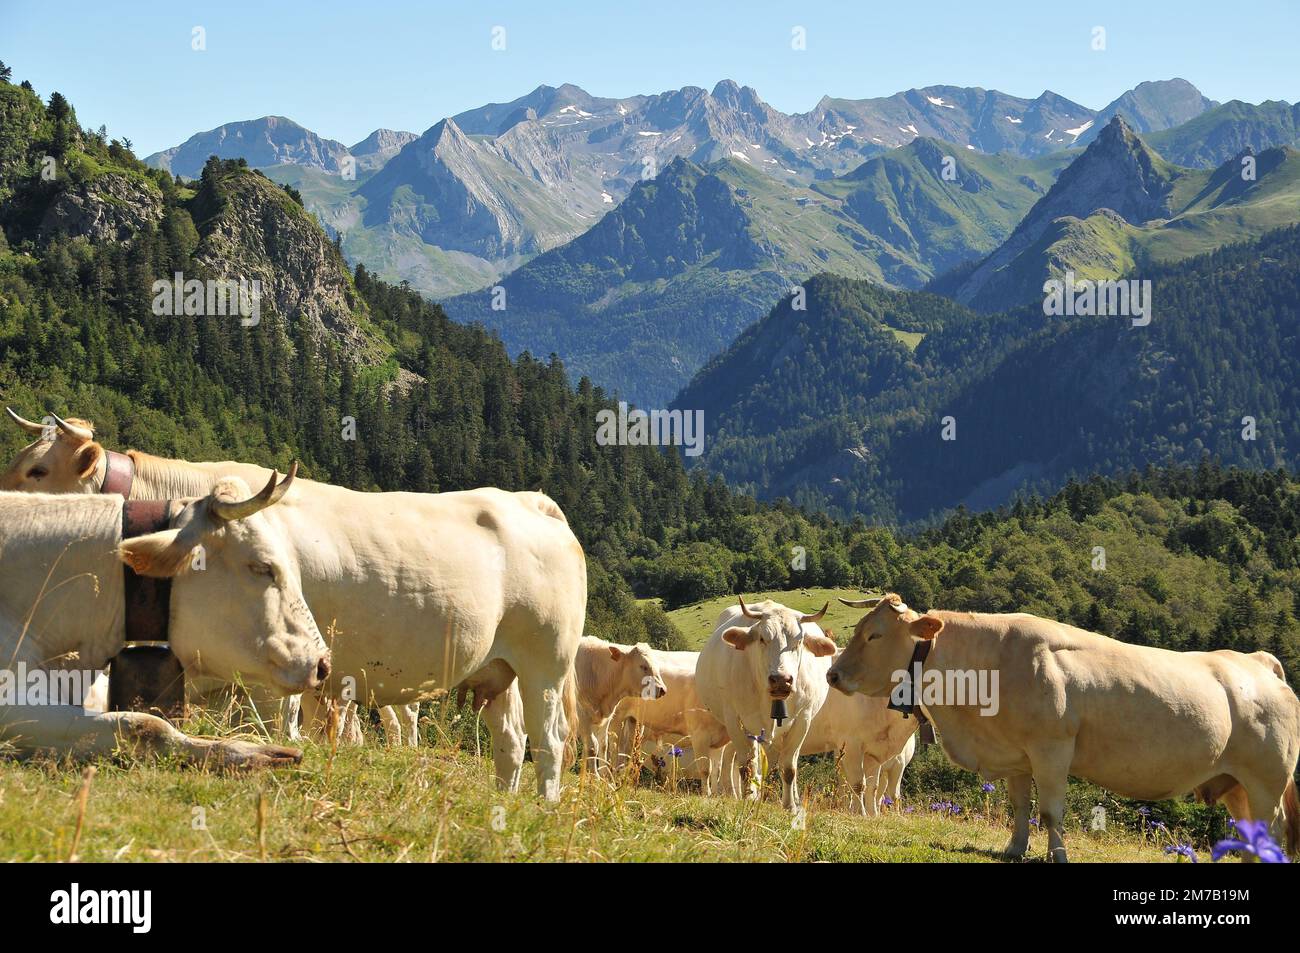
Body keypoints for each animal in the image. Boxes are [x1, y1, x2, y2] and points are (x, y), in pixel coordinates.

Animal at [571, 637, 667, 775]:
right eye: (643, 666)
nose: (662, 690)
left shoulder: (605, 718)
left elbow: (603, 745)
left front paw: (603, 775)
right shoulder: (583, 716)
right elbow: (592, 748)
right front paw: (595, 777)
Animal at [611, 649, 729, 789]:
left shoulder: (719, 742)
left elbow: (717, 772)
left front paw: (714, 793)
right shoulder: (700, 735)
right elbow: (705, 771)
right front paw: (707, 794)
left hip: (633, 721)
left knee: (626, 754)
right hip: (616, 716)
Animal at [695, 598, 838, 811]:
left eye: (799, 641)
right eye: (762, 639)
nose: (781, 680)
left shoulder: (803, 720)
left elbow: (789, 768)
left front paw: (790, 805)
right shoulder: (735, 719)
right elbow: (746, 766)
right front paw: (748, 799)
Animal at [827, 593, 1300, 861]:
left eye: (874, 635)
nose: (832, 674)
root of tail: (1258, 661)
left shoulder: (1052, 748)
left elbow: (1050, 811)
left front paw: (1058, 856)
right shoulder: (1016, 756)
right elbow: (1019, 807)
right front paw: (1014, 850)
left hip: (1267, 780)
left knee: (1272, 828)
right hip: (1236, 783)